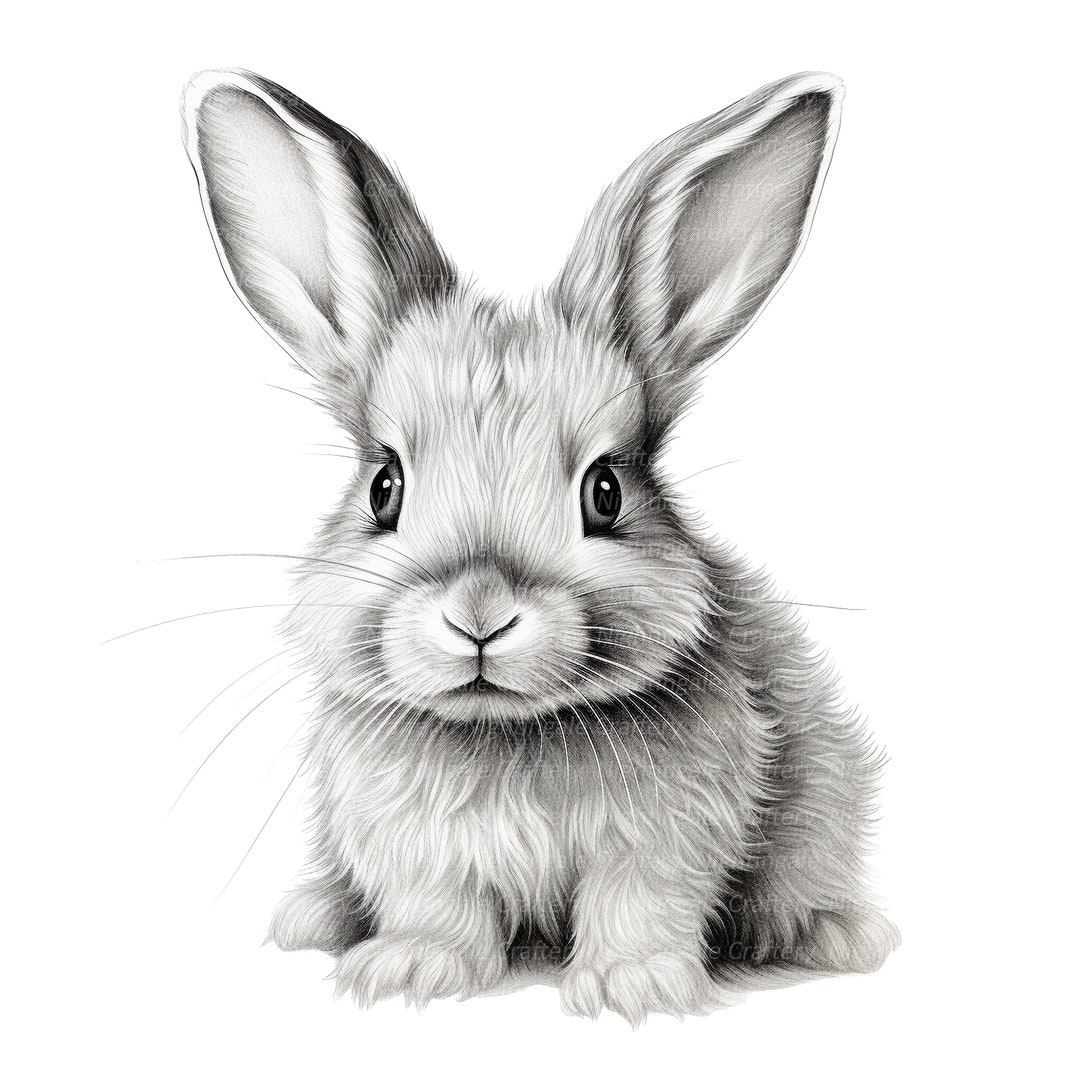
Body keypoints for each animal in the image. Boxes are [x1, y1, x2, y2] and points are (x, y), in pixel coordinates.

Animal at [181, 68, 899, 1024]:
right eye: (384, 489)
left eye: (605, 492)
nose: (480, 613)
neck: (508, 733)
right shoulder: (411, 844)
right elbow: (437, 907)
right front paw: (411, 971)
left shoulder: (665, 838)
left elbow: (640, 903)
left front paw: (634, 988)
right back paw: (314, 917)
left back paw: (834, 934)